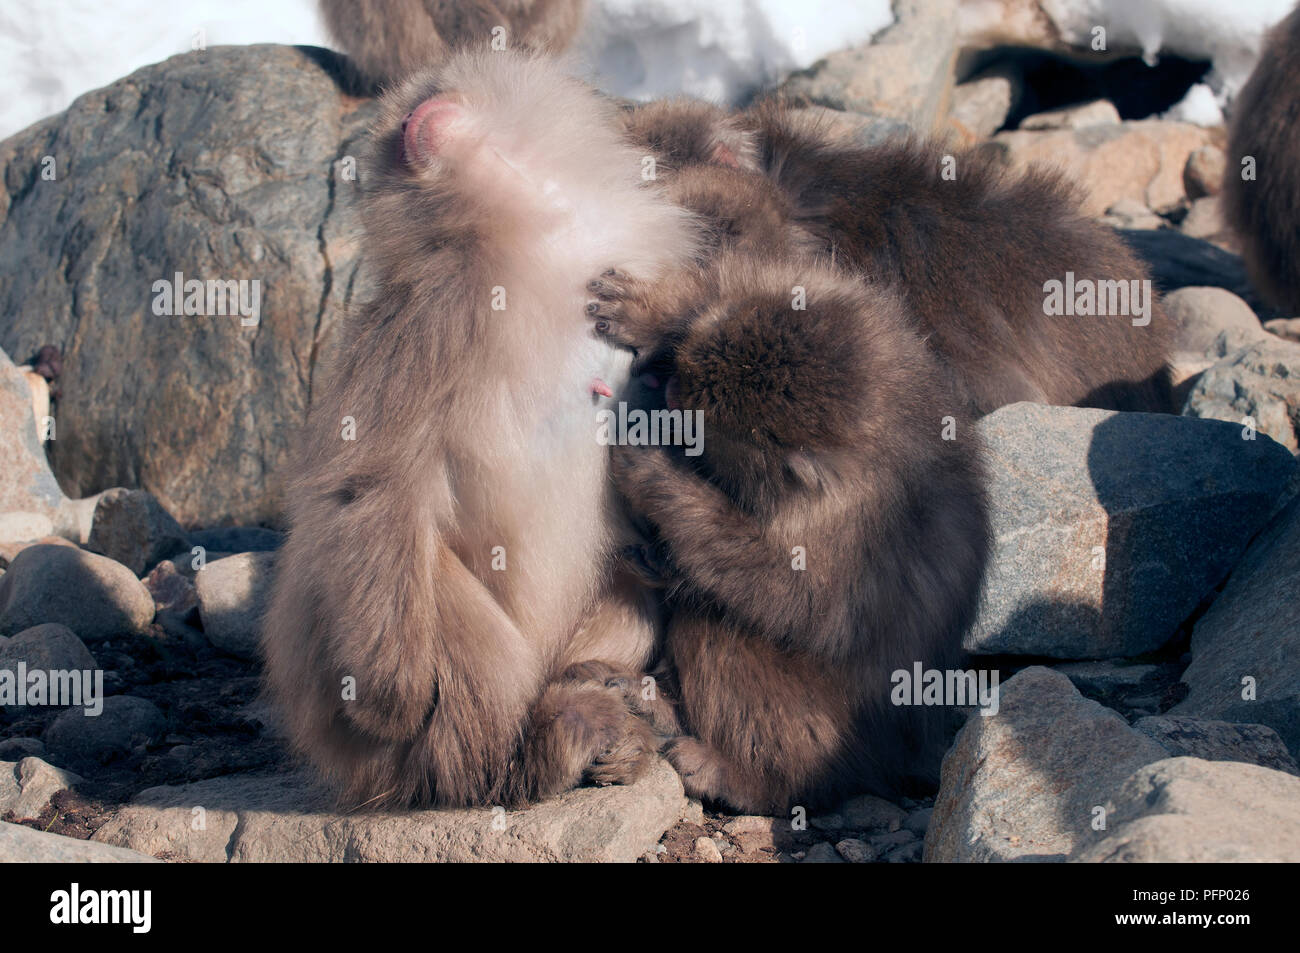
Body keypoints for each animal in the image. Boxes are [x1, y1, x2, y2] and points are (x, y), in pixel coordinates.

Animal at [260, 50, 698, 810]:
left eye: (411, 106)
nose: (410, 124)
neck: (540, 244)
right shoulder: (432, 315)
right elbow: (368, 483)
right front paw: (391, 696)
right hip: (379, 732)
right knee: (426, 580)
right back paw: (521, 757)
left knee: (628, 580)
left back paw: (599, 700)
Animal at [583, 250, 991, 814]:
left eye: (697, 426)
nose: (664, 387)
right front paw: (650, 311)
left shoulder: (850, 518)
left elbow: (799, 599)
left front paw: (656, 474)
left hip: (837, 736)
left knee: (721, 628)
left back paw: (748, 778)